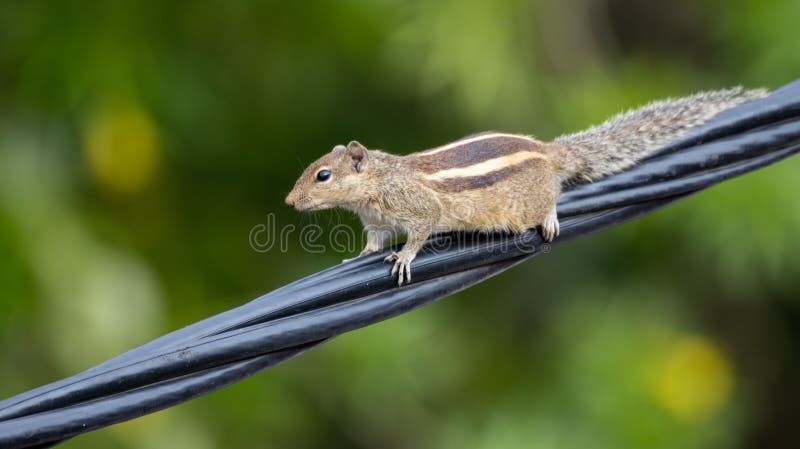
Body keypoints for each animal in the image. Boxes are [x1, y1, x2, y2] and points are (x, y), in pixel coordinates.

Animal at [286, 87, 767, 285]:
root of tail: (550, 152)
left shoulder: (416, 206)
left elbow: (421, 229)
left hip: (532, 199)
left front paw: (404, 257)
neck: (379, 180)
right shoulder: (376, 221)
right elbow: (373, 242)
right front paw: (359, 257)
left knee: (552, 196)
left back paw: (550, 217)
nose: (290, 201)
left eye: (323, 176)